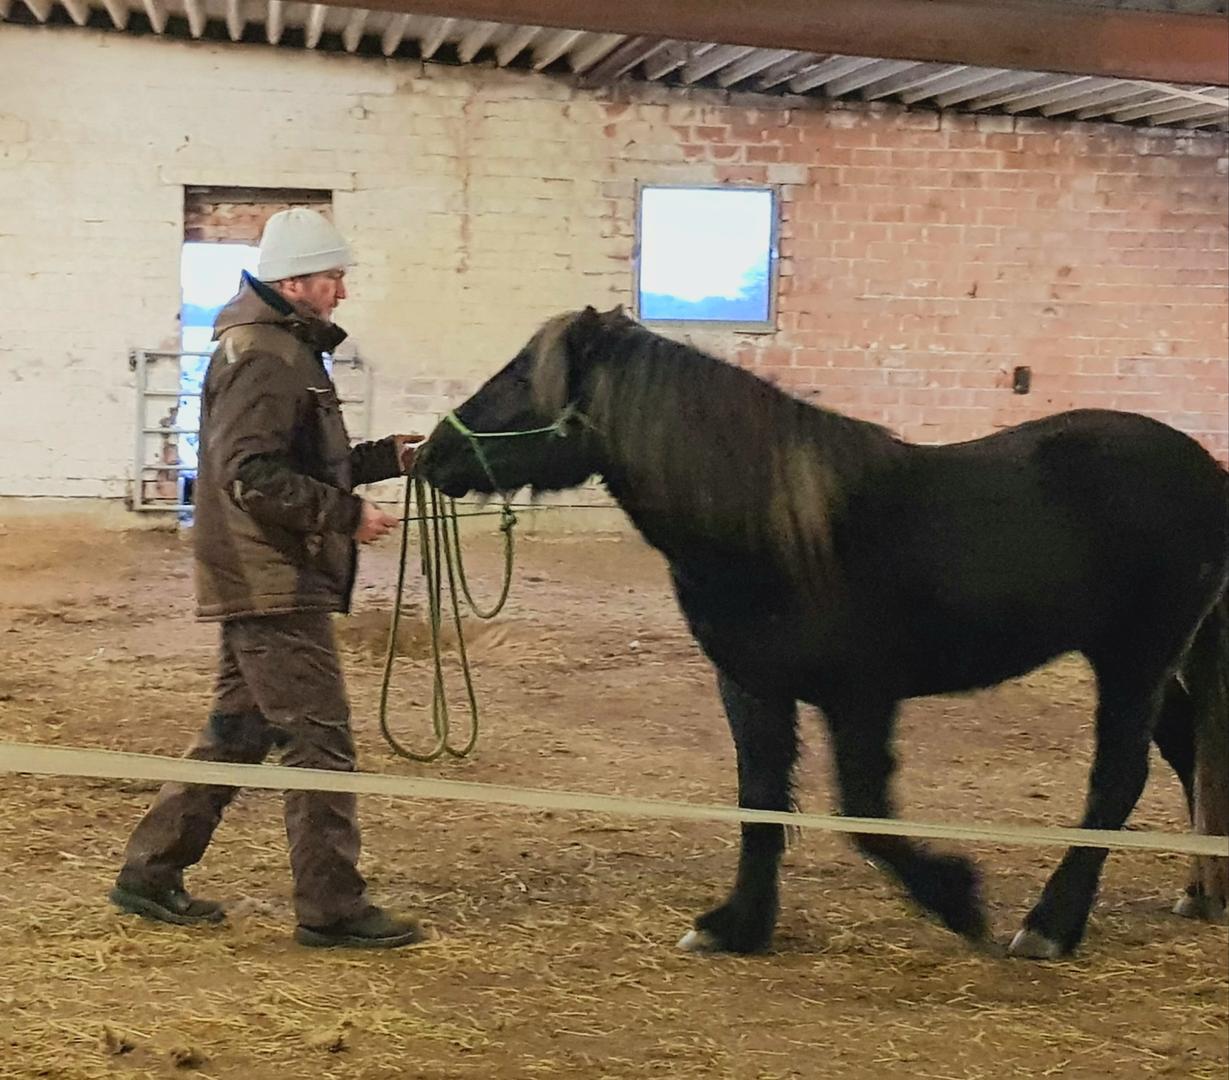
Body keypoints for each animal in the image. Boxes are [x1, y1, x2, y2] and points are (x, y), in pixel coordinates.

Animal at [416, 305, 1229, 959]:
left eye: (522, 377)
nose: (428, 454)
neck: (779, 534)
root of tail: (1206, 471)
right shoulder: (751, 689)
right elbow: (760, 801)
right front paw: (737, 926)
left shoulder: (860, 697)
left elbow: (864, 817)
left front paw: (958, 899)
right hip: (1148, 664)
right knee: (1184, 755)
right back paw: (1196, 893)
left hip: (1133, 658)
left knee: (1118, 778)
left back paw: (1049, 928)